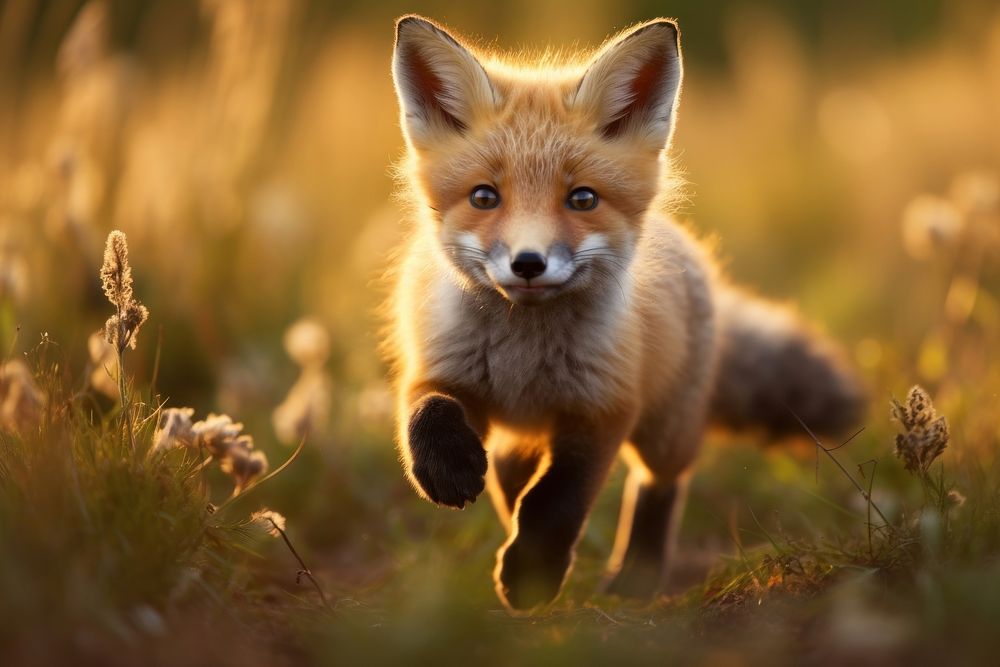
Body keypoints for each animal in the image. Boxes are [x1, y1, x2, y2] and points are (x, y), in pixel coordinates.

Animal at [385, 15, 865, 612]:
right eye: (484, 197)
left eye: (583, 199)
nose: (528, 263)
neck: (524, 357)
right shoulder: (440, 369)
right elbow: (426, 413)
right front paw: (446, 470)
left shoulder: (604, 407)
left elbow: (557, 500)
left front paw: (533, 574)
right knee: (512, 471)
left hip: (668, 428)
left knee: (658, 484)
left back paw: (637, 574)